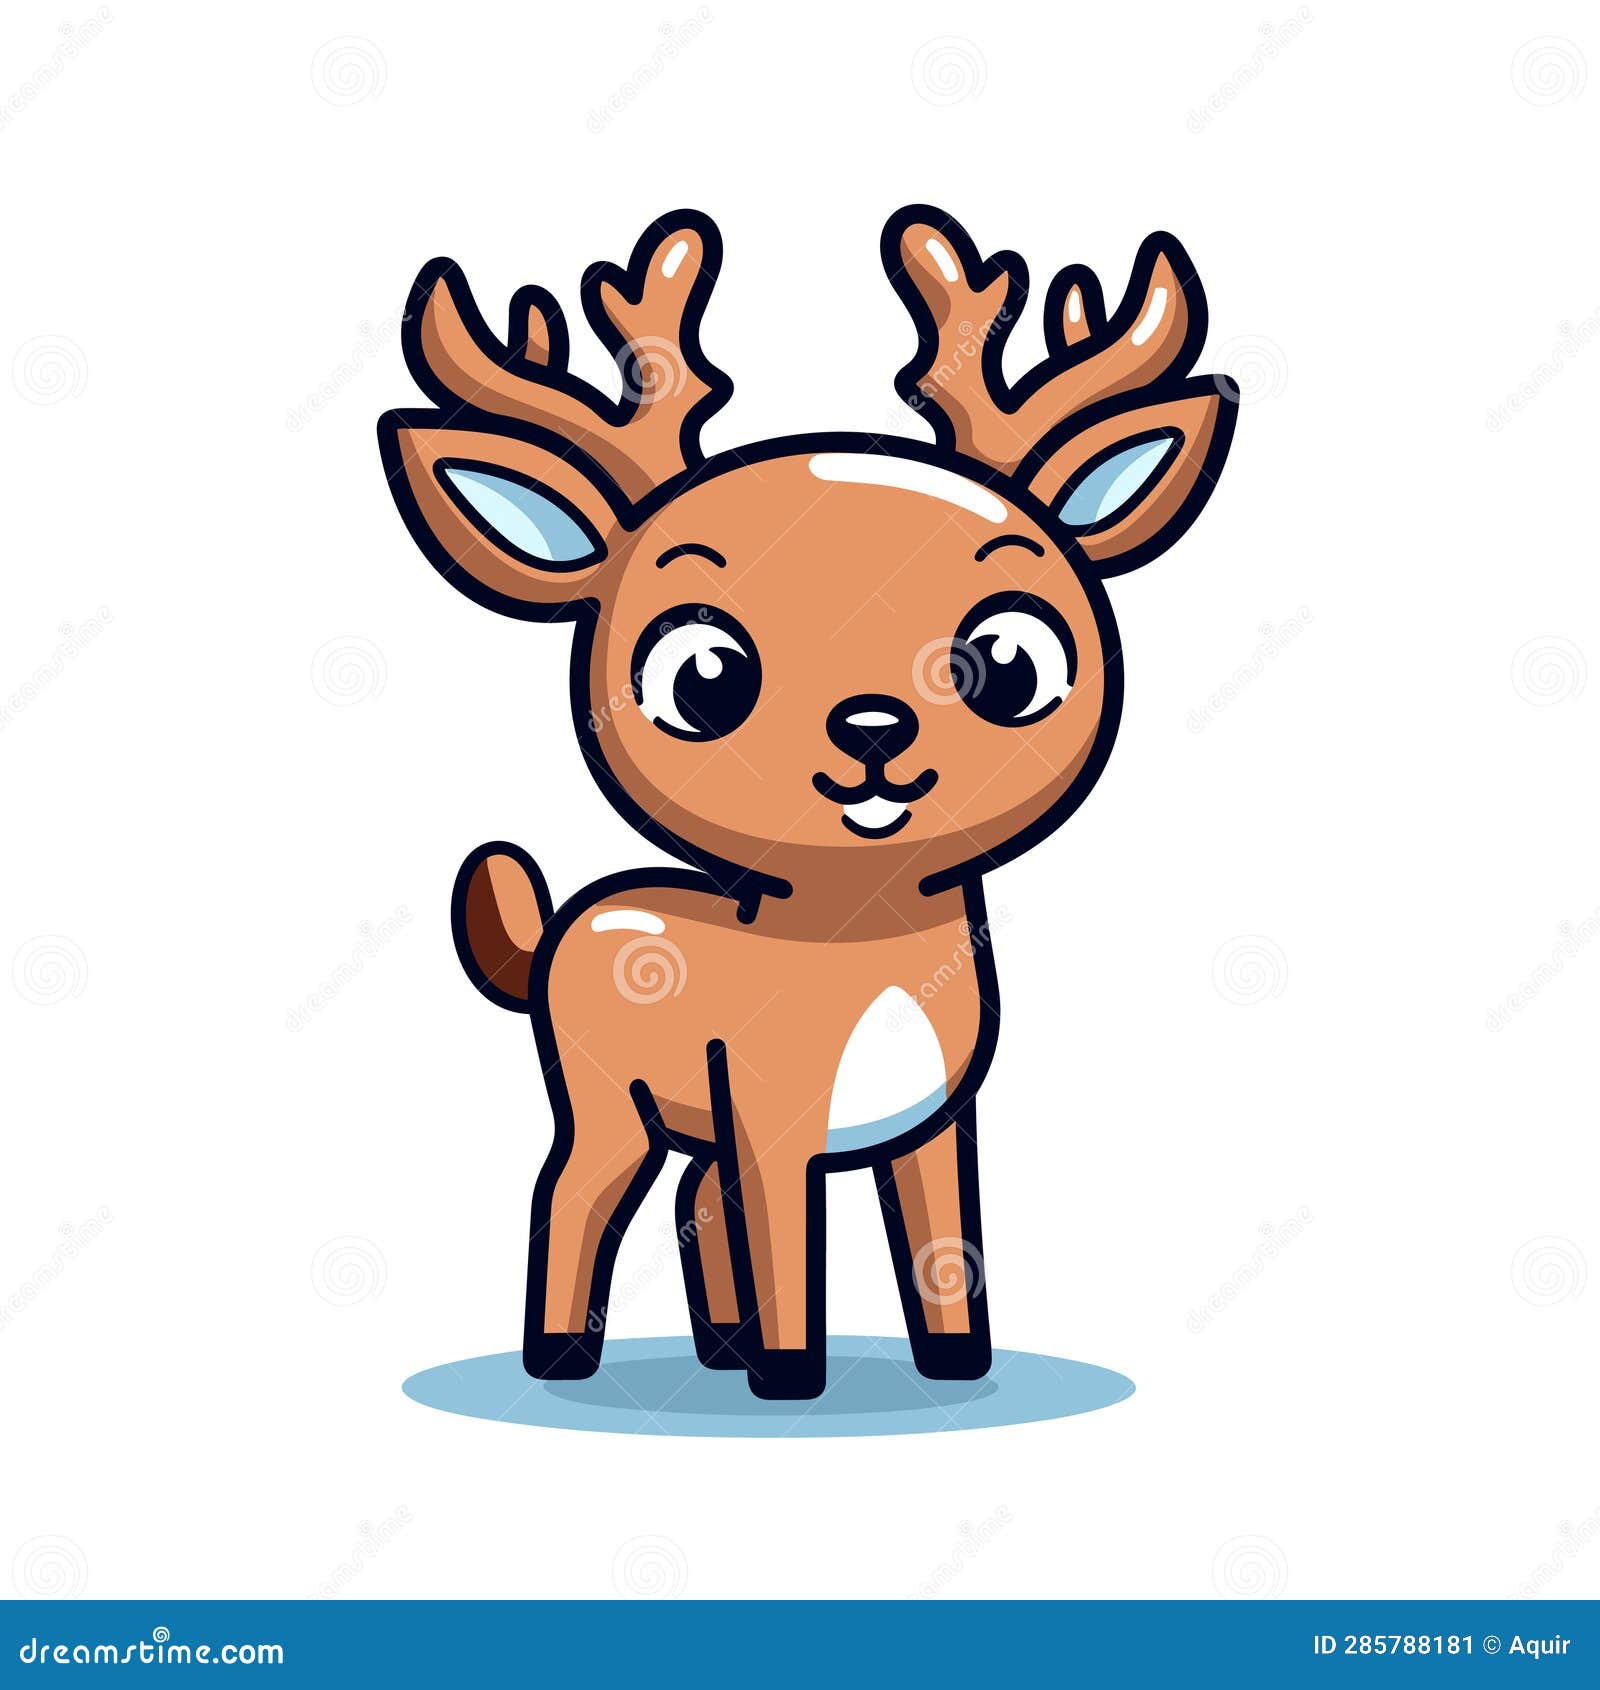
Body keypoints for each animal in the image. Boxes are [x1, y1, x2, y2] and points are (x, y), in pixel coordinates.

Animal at [377, 206, 1237, 1400]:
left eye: (1008, 660)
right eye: (703, 677)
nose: (873, 730)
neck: (857, 948)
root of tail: (564, 922)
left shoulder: (934, 1127)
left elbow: (943, 1251)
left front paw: (954, 1364)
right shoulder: (772, 1121)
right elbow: (786, 1245)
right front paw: (791, 1375)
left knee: (692, 1196)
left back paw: (717, 1348)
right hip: (609, 1102)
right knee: (577, 1189)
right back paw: (570, 1354)